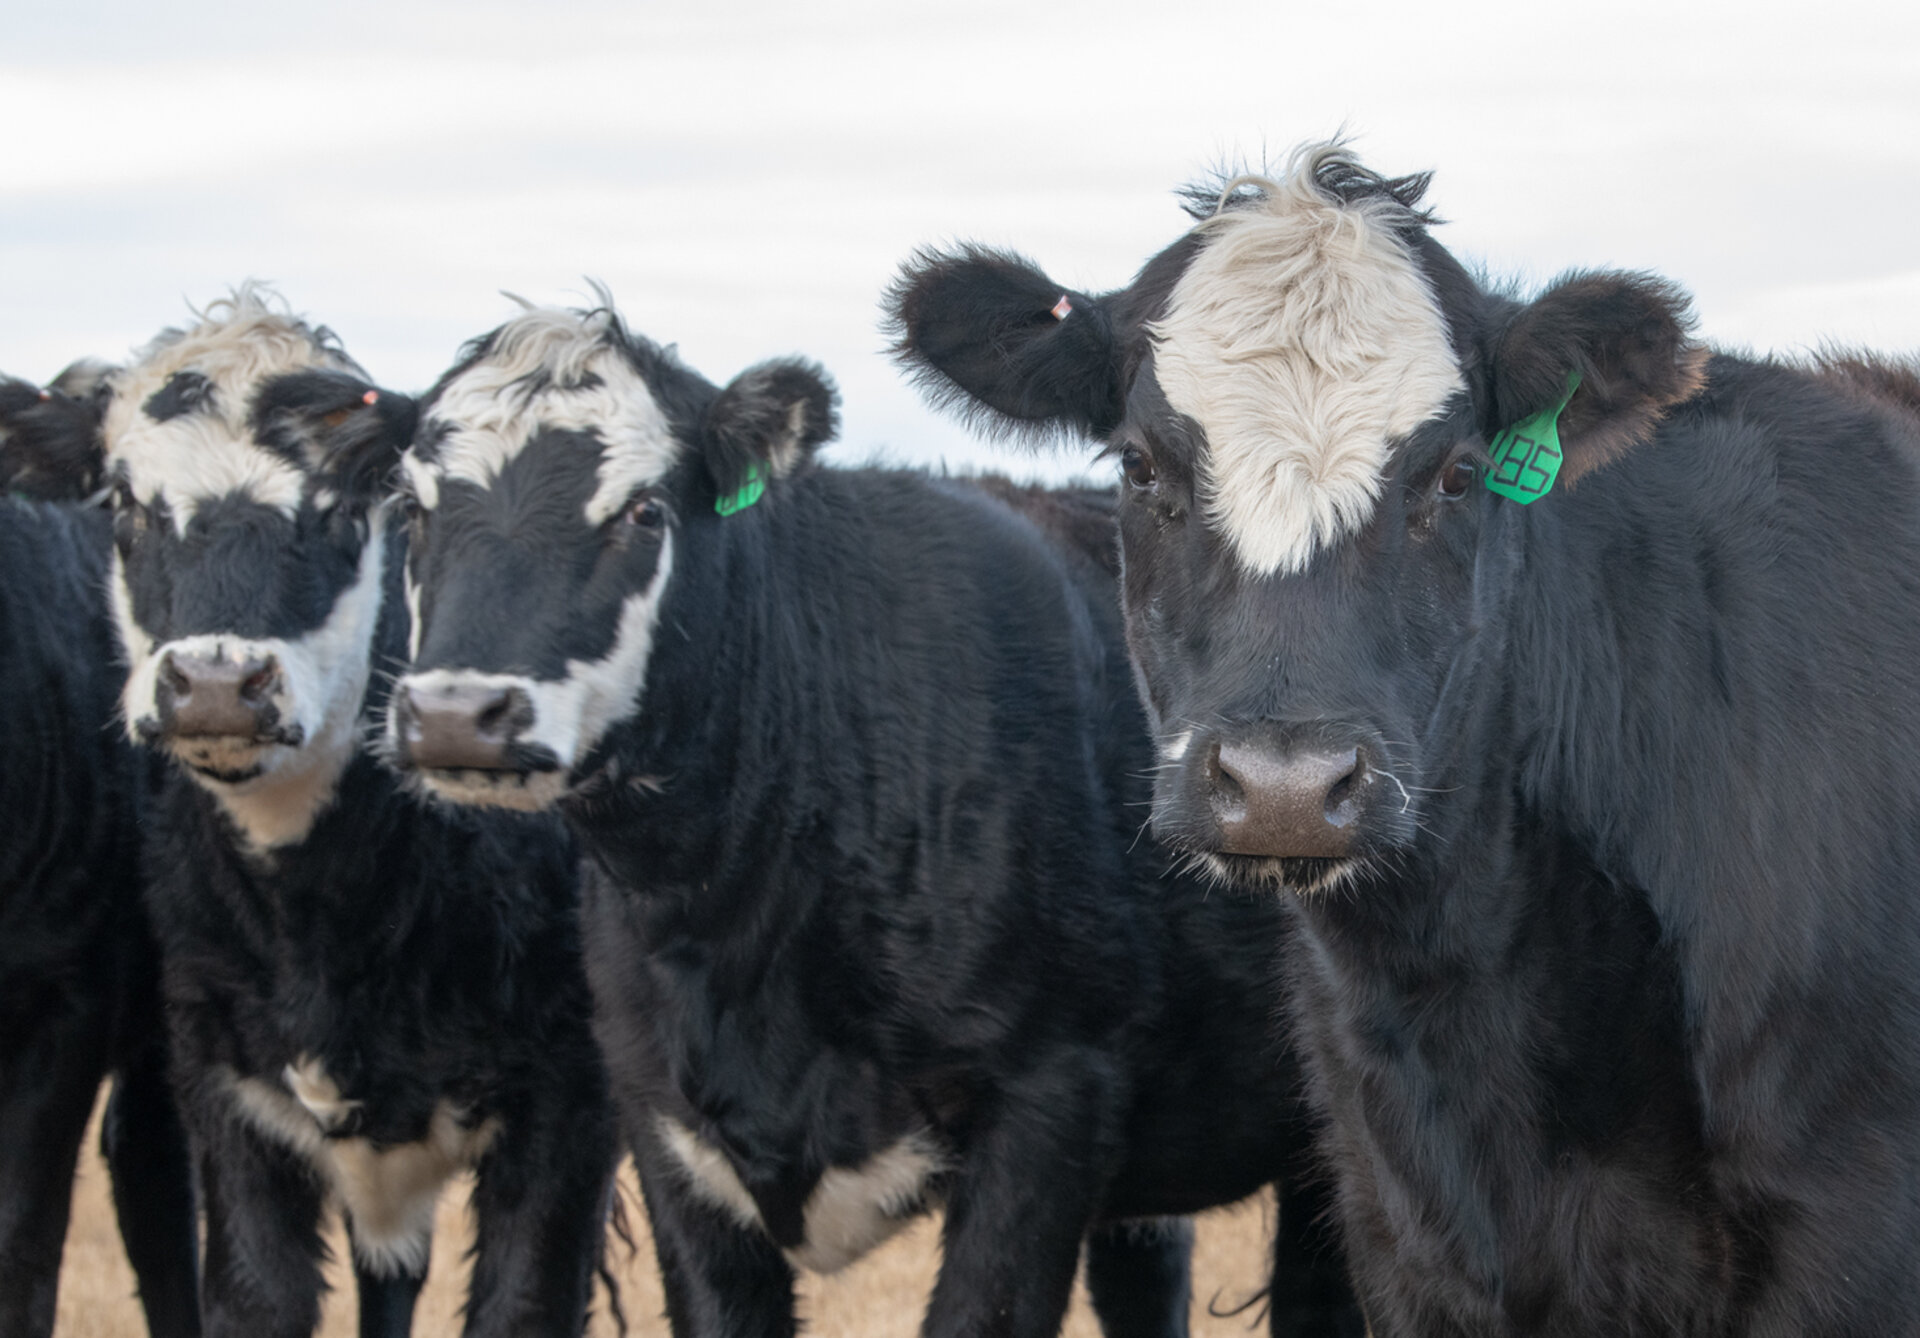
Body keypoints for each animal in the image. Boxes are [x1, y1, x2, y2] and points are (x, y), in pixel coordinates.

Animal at [22, 289, 620, 1338]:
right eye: (126, 504)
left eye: (345, 508)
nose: (217, 684)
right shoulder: (230, 1094)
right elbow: (256, 1296)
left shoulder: (568, 1108)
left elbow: (522, 1305)